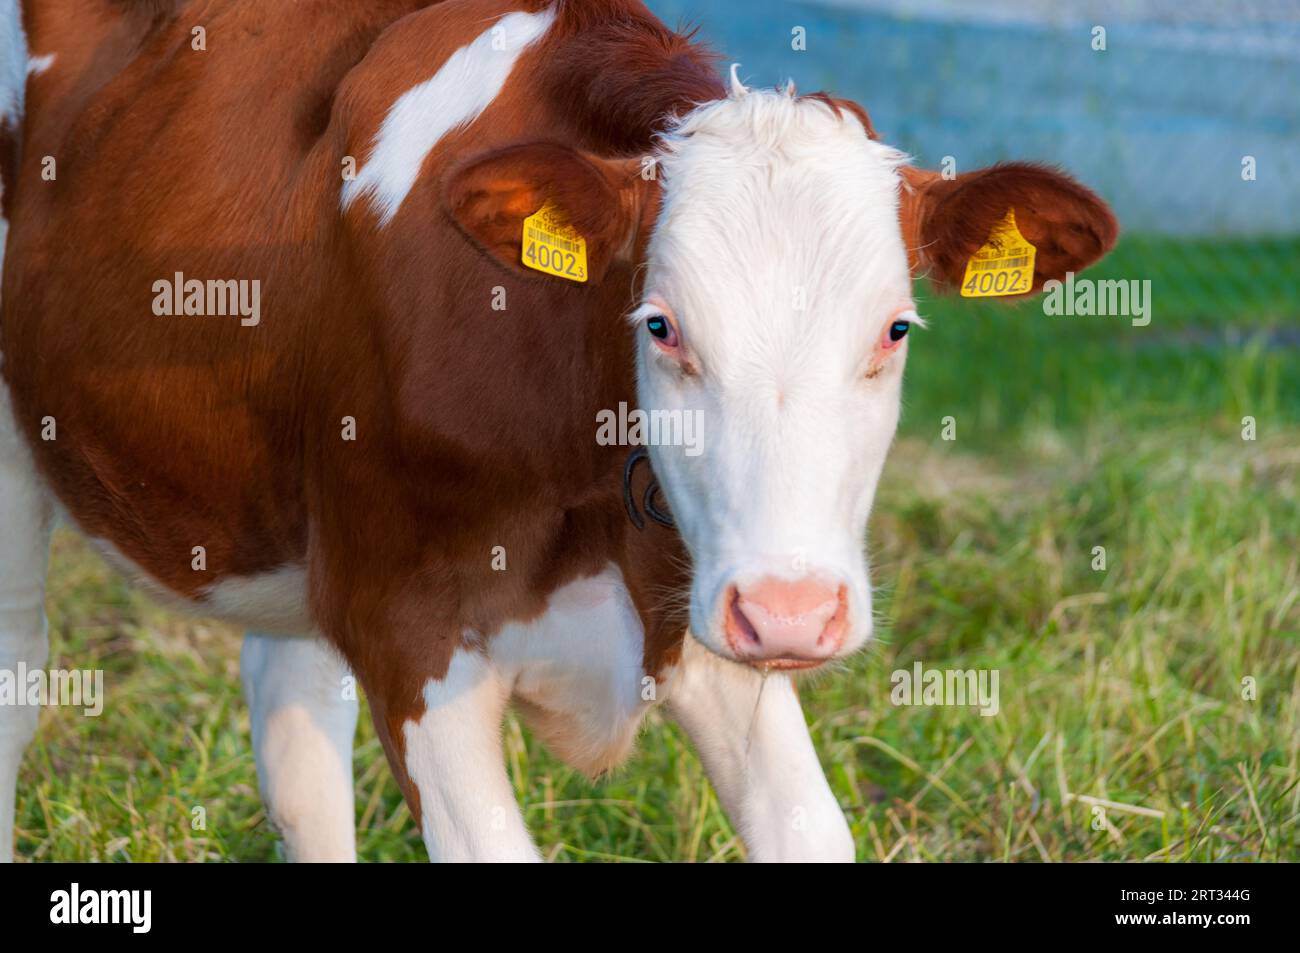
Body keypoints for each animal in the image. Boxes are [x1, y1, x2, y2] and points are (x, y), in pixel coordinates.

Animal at [0, 0, 1116, 862]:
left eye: (894, 328)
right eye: (662, 326)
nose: (792, 614)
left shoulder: (703, 616)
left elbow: (810, 828)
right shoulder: (407, 631)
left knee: (296, 726)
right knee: (20, 674)